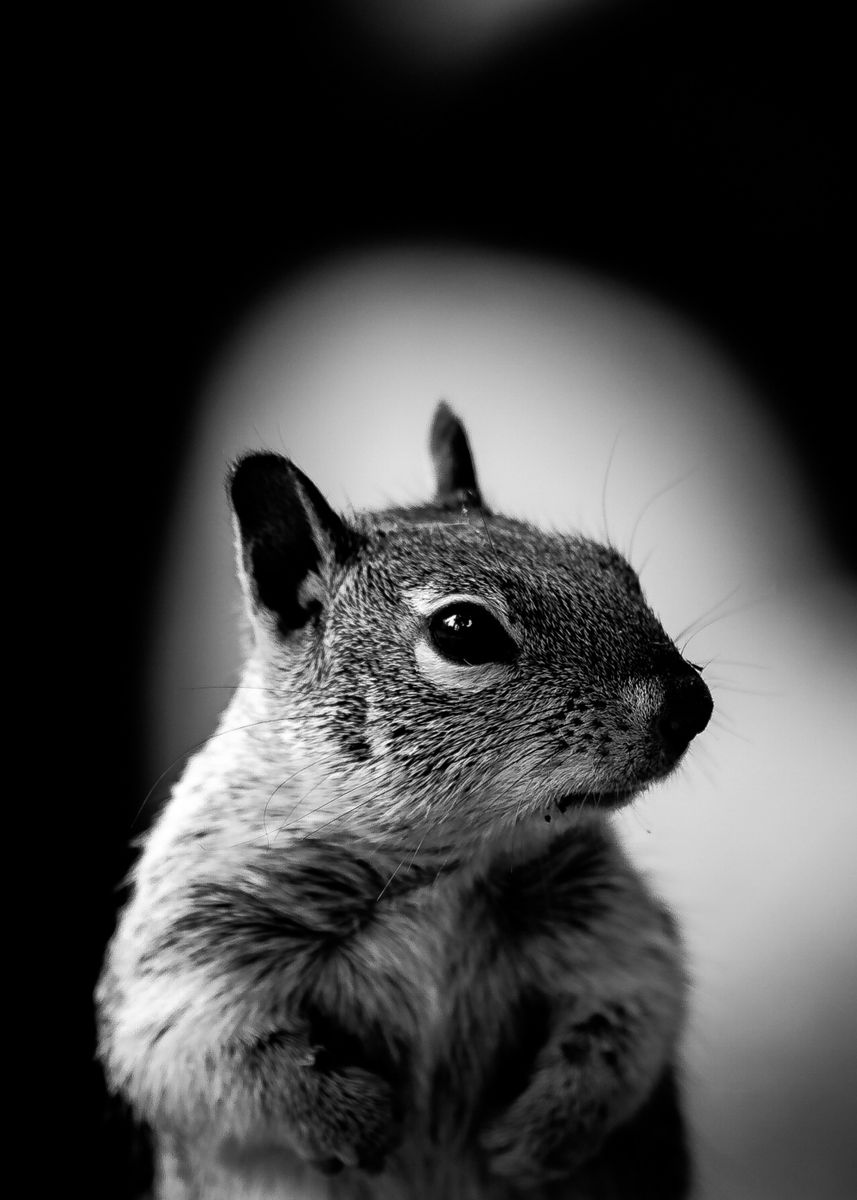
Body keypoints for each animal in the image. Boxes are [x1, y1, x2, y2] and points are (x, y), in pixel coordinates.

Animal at [97, 402, 712, 1200]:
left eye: (617, 569)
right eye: (463, 630)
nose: (691, 704)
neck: (447, 868)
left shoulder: (609, 918)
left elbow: (631, 1013)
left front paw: (543, 1131)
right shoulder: (193, 944)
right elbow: (203, 1050)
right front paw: (354, 1119)